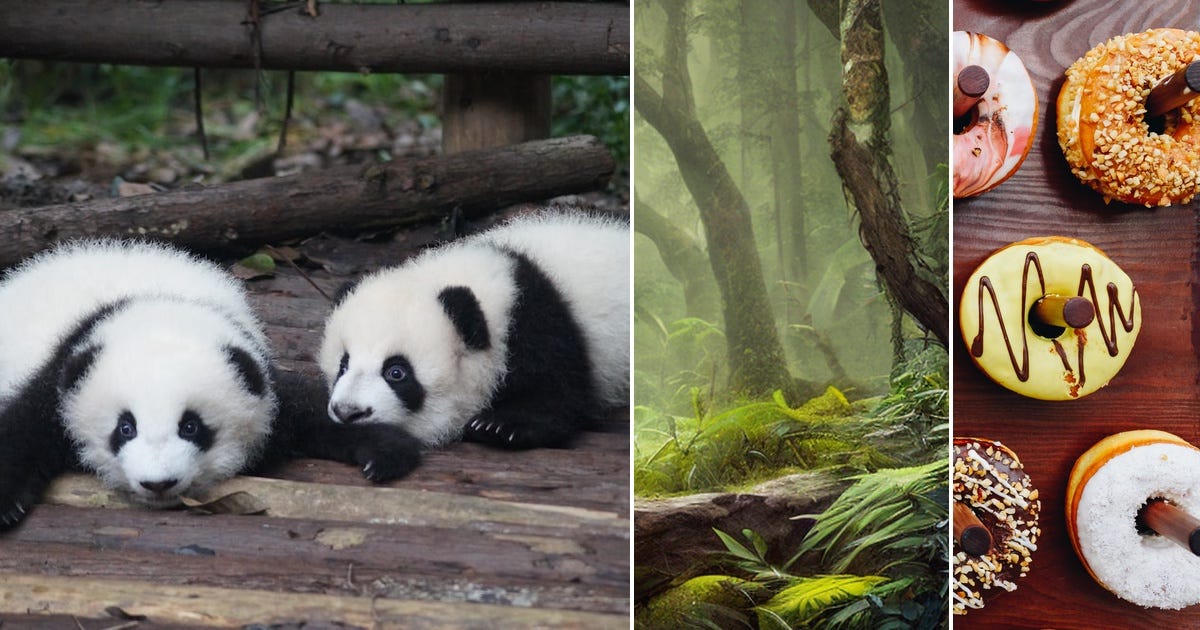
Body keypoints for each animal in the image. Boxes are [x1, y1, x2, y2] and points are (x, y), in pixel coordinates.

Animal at [0, 239, 421, 530]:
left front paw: (386, 450)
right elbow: (23, 430)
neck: (158, 306)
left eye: (191, 426)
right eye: (125, 428)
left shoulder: (257, 374)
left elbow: (312, 408)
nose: (158, 483)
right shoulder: (61, 375)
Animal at [319, 209, 630, 450]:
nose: (348, 412)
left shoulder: (539, 322)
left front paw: (500, 426)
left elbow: (560, 393)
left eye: (396, 372)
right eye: (343, 365)